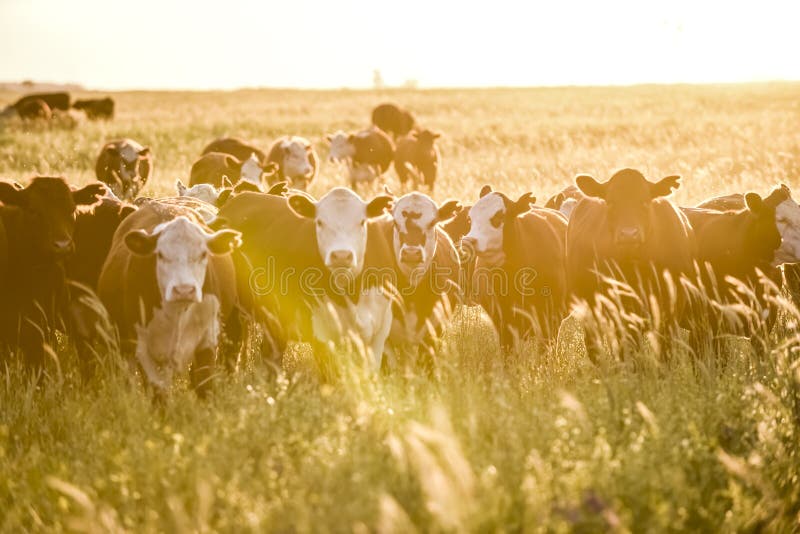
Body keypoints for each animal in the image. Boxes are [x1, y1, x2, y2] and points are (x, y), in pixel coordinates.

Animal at [97, 202, 242, 397]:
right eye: (160, 255)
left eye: (203, 254)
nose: (184, 290)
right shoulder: (143, 348)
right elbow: (158, 392)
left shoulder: (208, 339)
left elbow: (204, 385)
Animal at [216, 188, 394, 373]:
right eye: (320, 222)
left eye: (362, 222)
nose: (341, 255)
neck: (351, 291)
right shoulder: (322, 335)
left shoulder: (379, 333)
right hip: (233, 315)